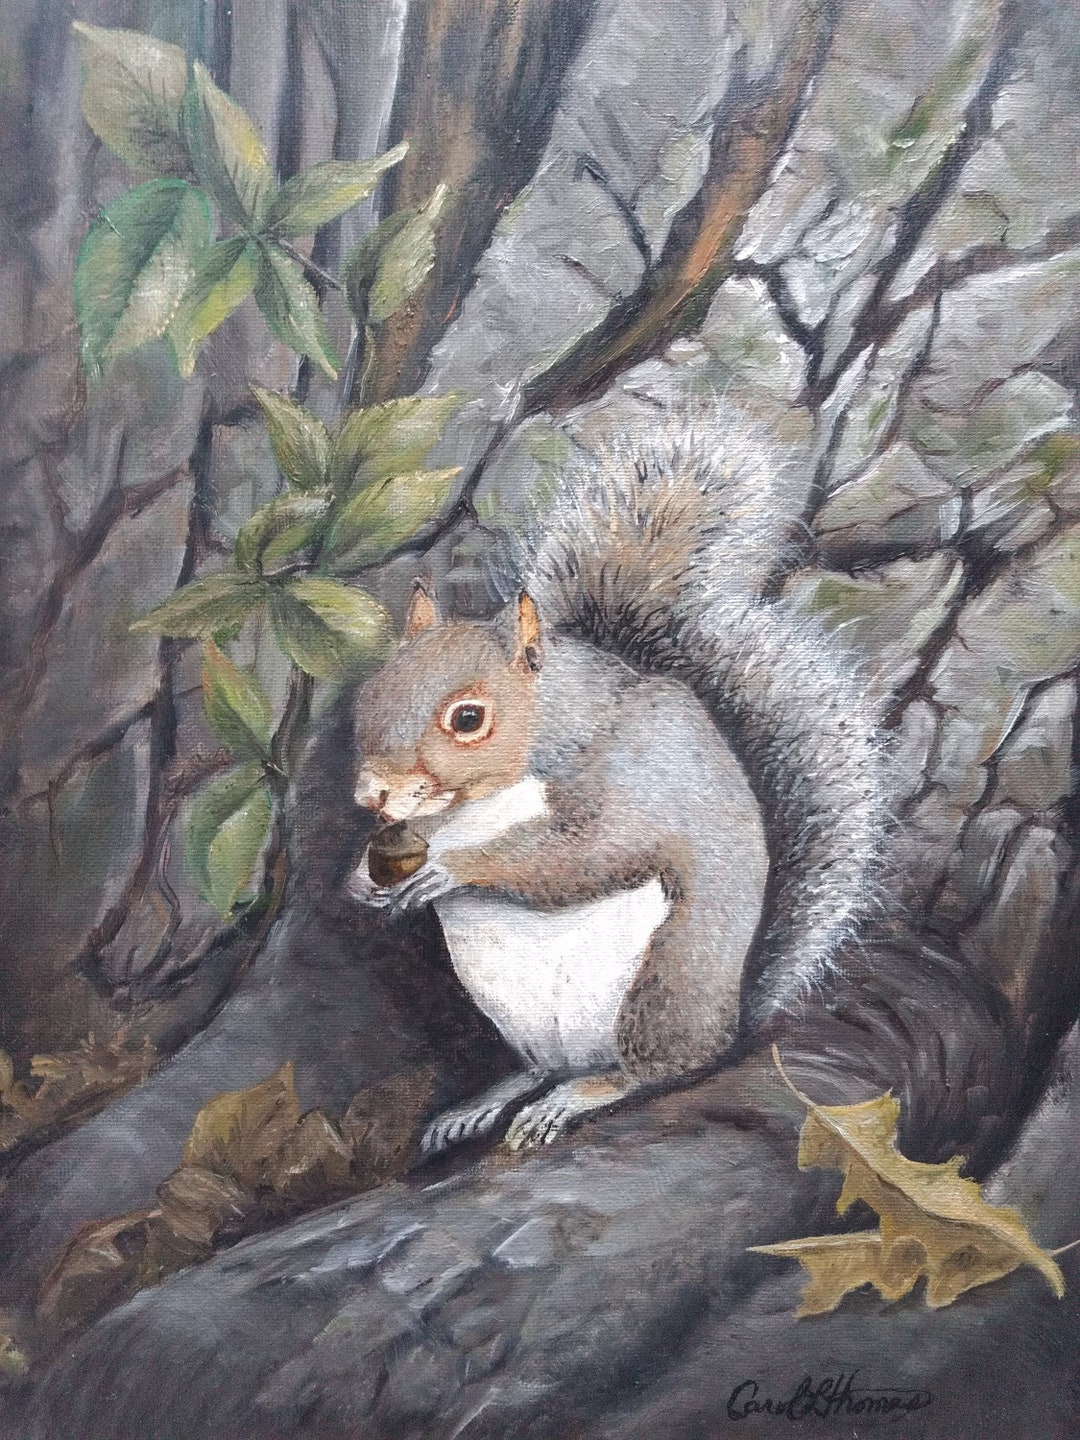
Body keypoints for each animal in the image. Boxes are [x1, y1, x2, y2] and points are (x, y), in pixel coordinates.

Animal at [348, 406, 888, 1154]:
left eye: (468, 718)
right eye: (370, 692)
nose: (371, 792)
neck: (475, 806)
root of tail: (732, 1023)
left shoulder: (631, 784)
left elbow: (588, 852)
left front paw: (452, 870)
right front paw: (362, 879)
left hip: (660, 990)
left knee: (644, 1071)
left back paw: (577, 1097)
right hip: (512, 1007)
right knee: (544, 1064)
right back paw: (491, 1101)